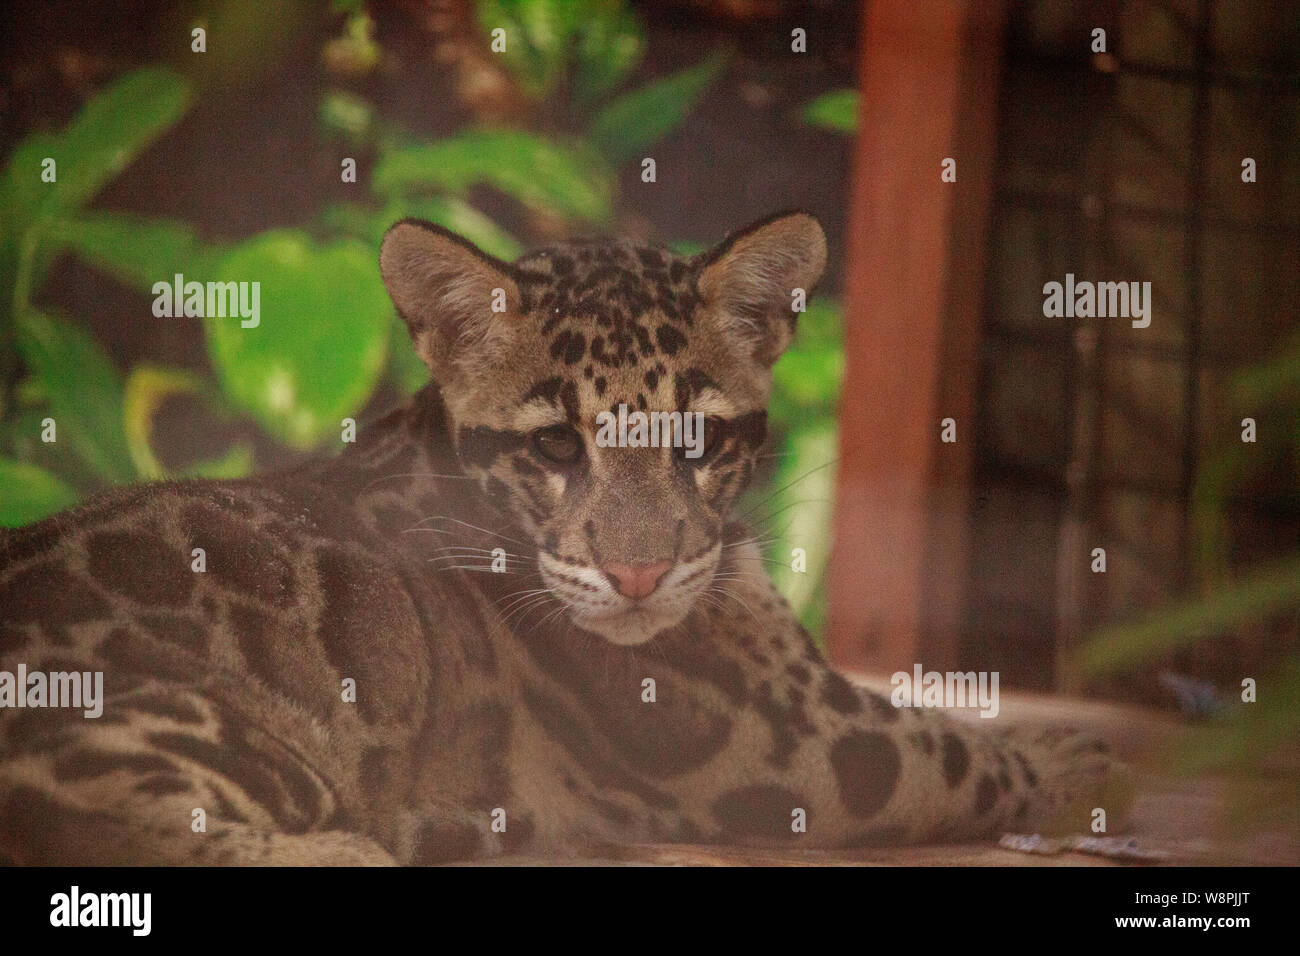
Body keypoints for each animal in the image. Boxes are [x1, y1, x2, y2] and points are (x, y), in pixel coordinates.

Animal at [0, 211, 1129, 864]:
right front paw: (1081, 764)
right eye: (553, 443)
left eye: (697, 440)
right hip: (167, 728)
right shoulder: (788, 736)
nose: (638, 574)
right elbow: (955, 750)